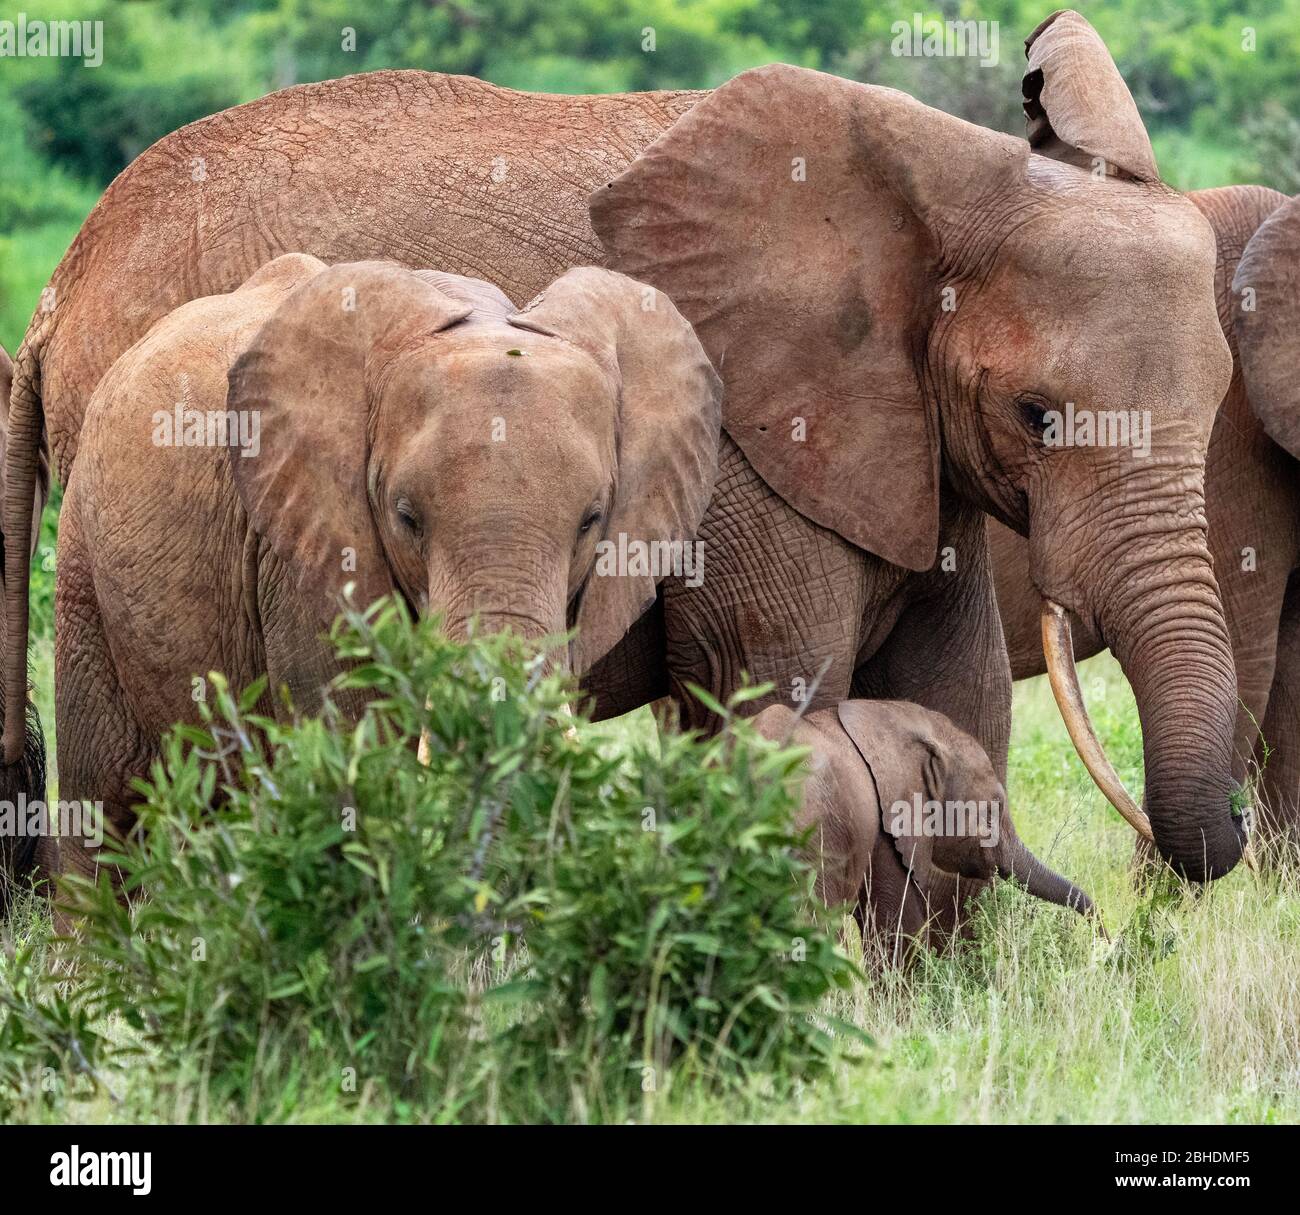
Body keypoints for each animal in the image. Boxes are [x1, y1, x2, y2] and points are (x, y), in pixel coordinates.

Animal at [42, 254, 720, 886]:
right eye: (405, 518)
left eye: (591, 521)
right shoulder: (303, 559)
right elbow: (353, 753)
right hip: (82, 558)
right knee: (104, 808)